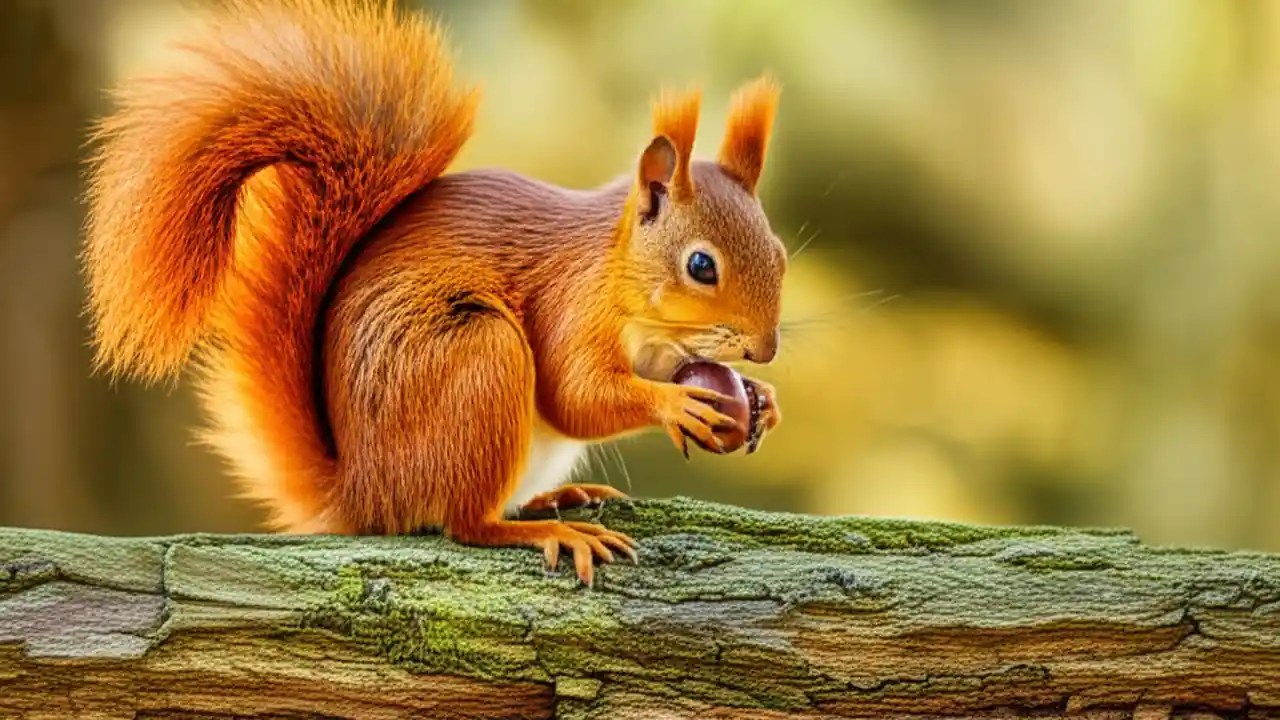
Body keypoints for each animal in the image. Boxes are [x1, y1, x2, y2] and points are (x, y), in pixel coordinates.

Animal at [83, 0, 785, 585]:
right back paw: (548, 529)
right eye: (701, 265)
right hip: (480, 357)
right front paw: (677, 404)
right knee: (467, 525)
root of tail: (364, 493)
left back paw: (559, 497)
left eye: (778, 253)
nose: (767, 349)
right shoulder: (570, 302)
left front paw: (761, 399)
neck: (618, 274)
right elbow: (576, 394)